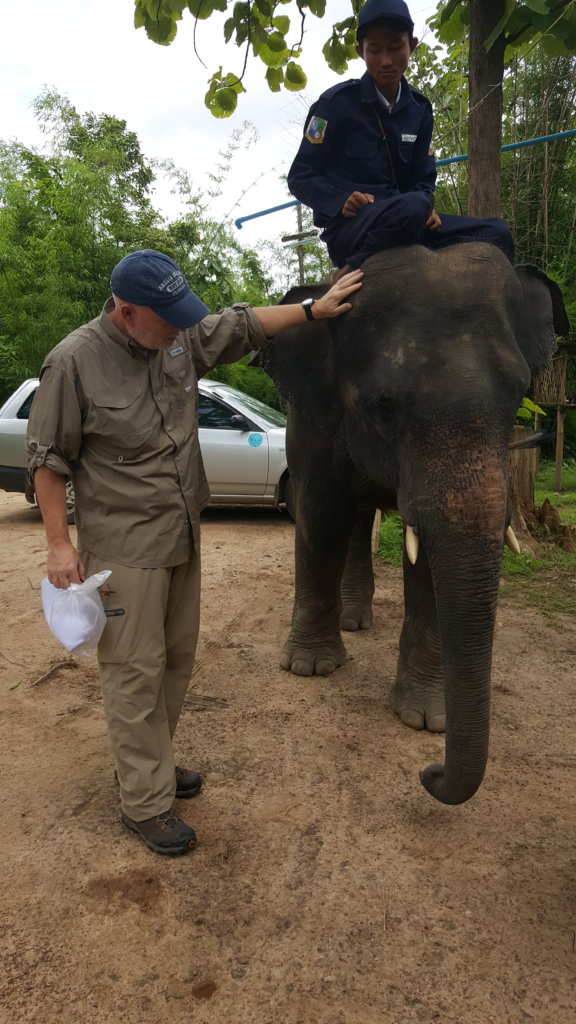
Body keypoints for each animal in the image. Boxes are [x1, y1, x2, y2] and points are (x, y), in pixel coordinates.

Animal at [260, 243, 569, 806]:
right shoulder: (311, 415)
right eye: (383, 408)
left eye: (518, 394)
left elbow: (424, 556)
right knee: (350, 516)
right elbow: (319, 510)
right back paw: (351, 625)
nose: (428, 773)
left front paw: (425, 721)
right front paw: (310, 669)